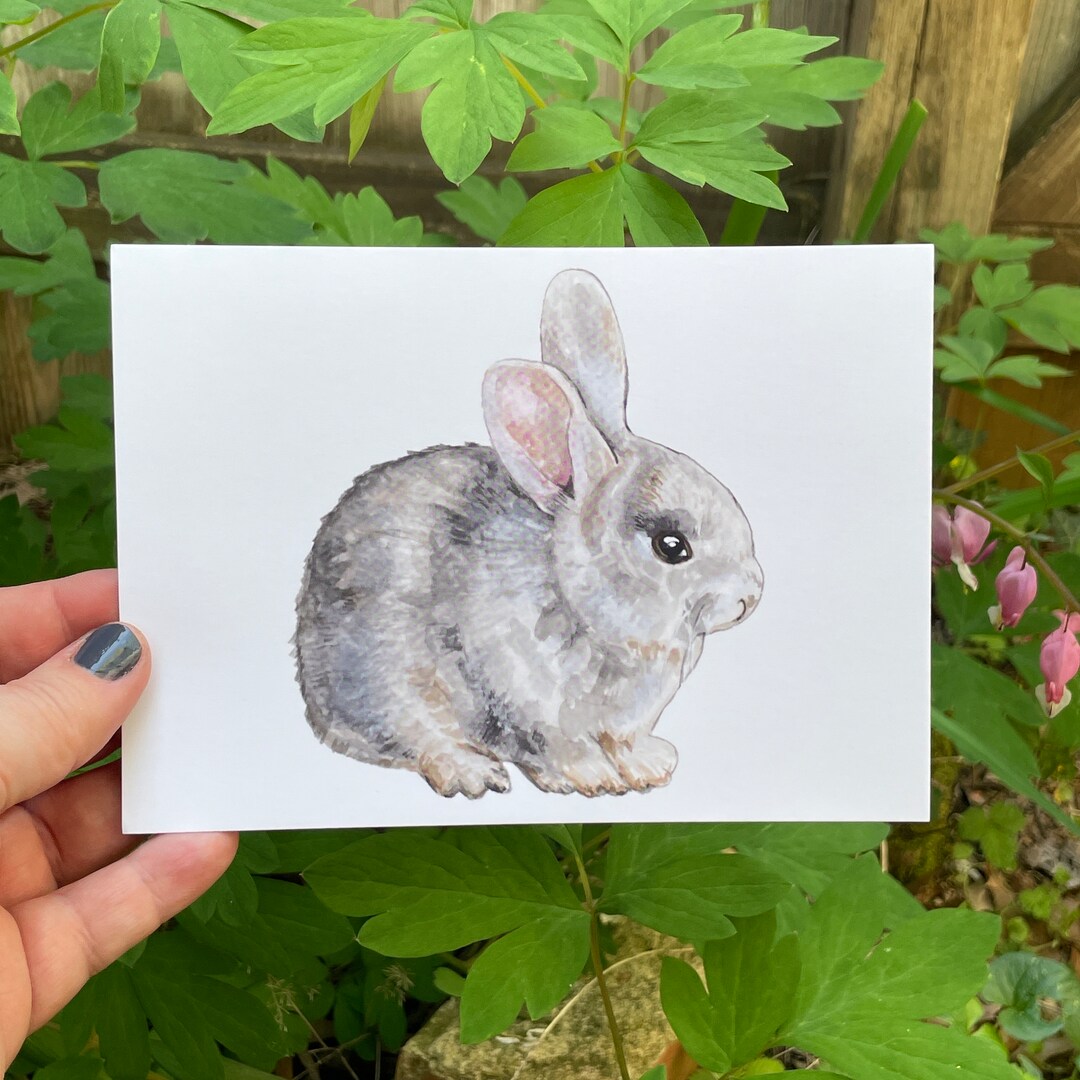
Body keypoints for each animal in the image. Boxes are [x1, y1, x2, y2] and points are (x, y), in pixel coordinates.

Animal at [294, 269, 763, 798]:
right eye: (671, 545)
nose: (751, 596)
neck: (582, 604)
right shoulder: (524, 705)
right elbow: (554, 749)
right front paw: (591, 778)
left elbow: (622, 743)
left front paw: (649, 766)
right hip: (385, 683)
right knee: (419, 741)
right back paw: (471, 772)